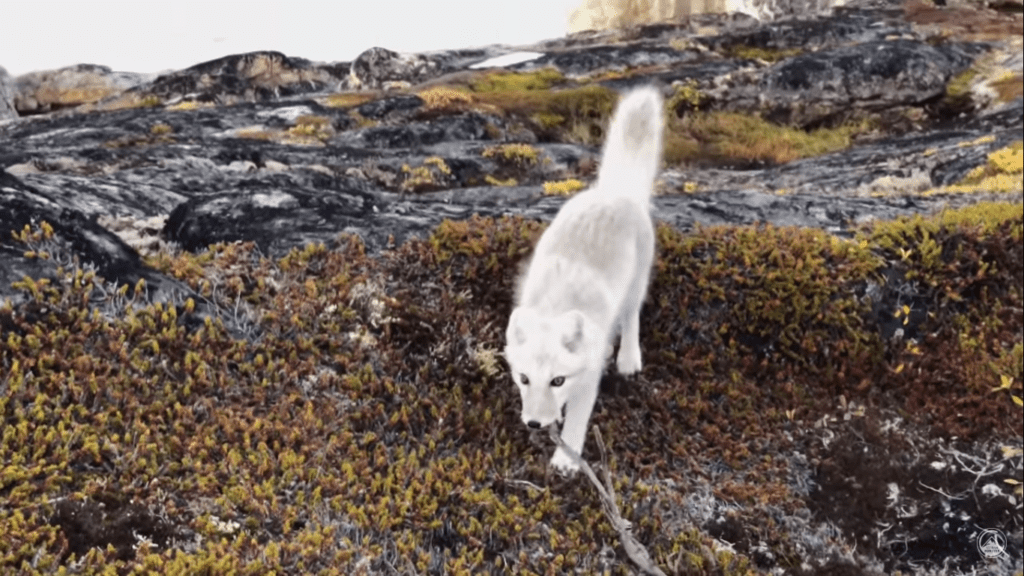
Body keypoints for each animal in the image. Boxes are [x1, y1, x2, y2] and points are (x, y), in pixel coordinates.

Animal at [504, 86, 664, 474]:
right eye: (524, 378)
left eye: (558, 379)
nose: (534, 423)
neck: (554, 305)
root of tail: (614, 191)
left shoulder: (589, 377)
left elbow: (579, 415)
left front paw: (566, 458)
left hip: (636, 283)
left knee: (631, 316)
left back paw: (628, 359)